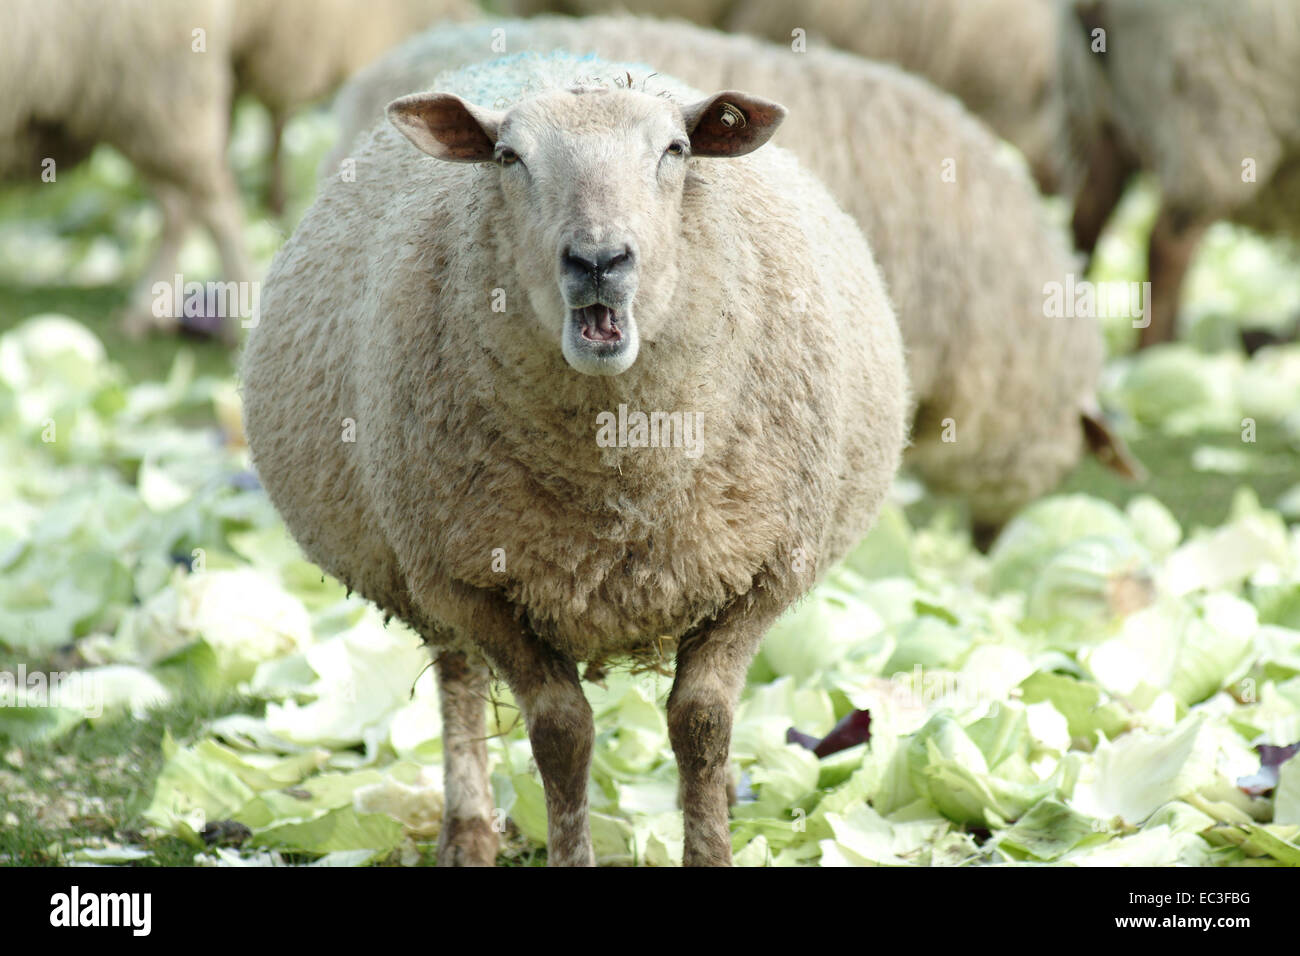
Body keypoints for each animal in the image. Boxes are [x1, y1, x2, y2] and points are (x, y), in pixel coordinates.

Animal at [240, 51, 909, 866]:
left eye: (675, 151)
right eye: (508, 158)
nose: (598, 260)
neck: (620, 472)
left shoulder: (761, 572)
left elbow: (702, 722)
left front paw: (710, 843)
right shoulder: (476, 585)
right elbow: (562, 736)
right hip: (426, 561)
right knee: (458, 679)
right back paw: (468, 830)